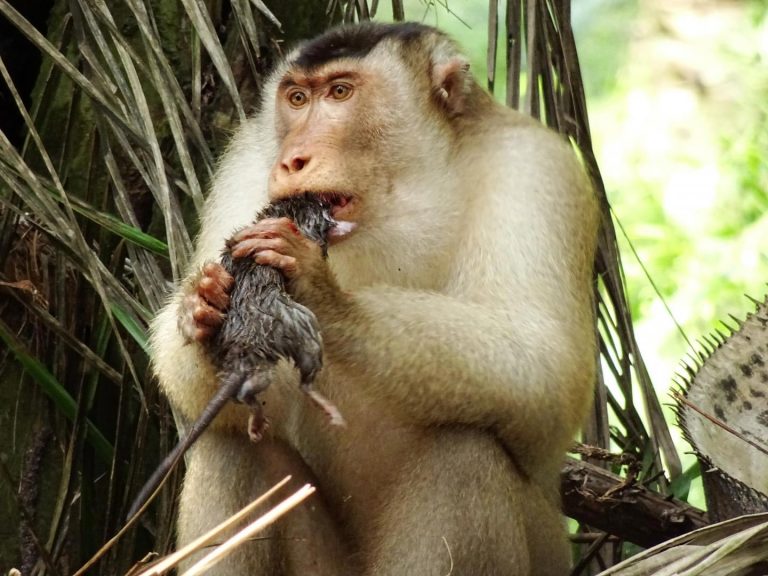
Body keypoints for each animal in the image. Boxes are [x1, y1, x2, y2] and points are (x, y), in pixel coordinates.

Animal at [126, 194, 343, 523]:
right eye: (318, 202)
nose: (329, 203)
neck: (280, 211)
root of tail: (243, 355)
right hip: (304, 331)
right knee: (295, 383)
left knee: (247, 393)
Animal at [150, 21, 599, 576]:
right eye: (297, 98)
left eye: (340, 92)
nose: (292, 159)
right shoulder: (247, 164)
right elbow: (222, 399)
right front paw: (202, 304)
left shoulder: (537, 170)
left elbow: (546, 368)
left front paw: (322, 294)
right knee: (229, 443)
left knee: (465, 450)